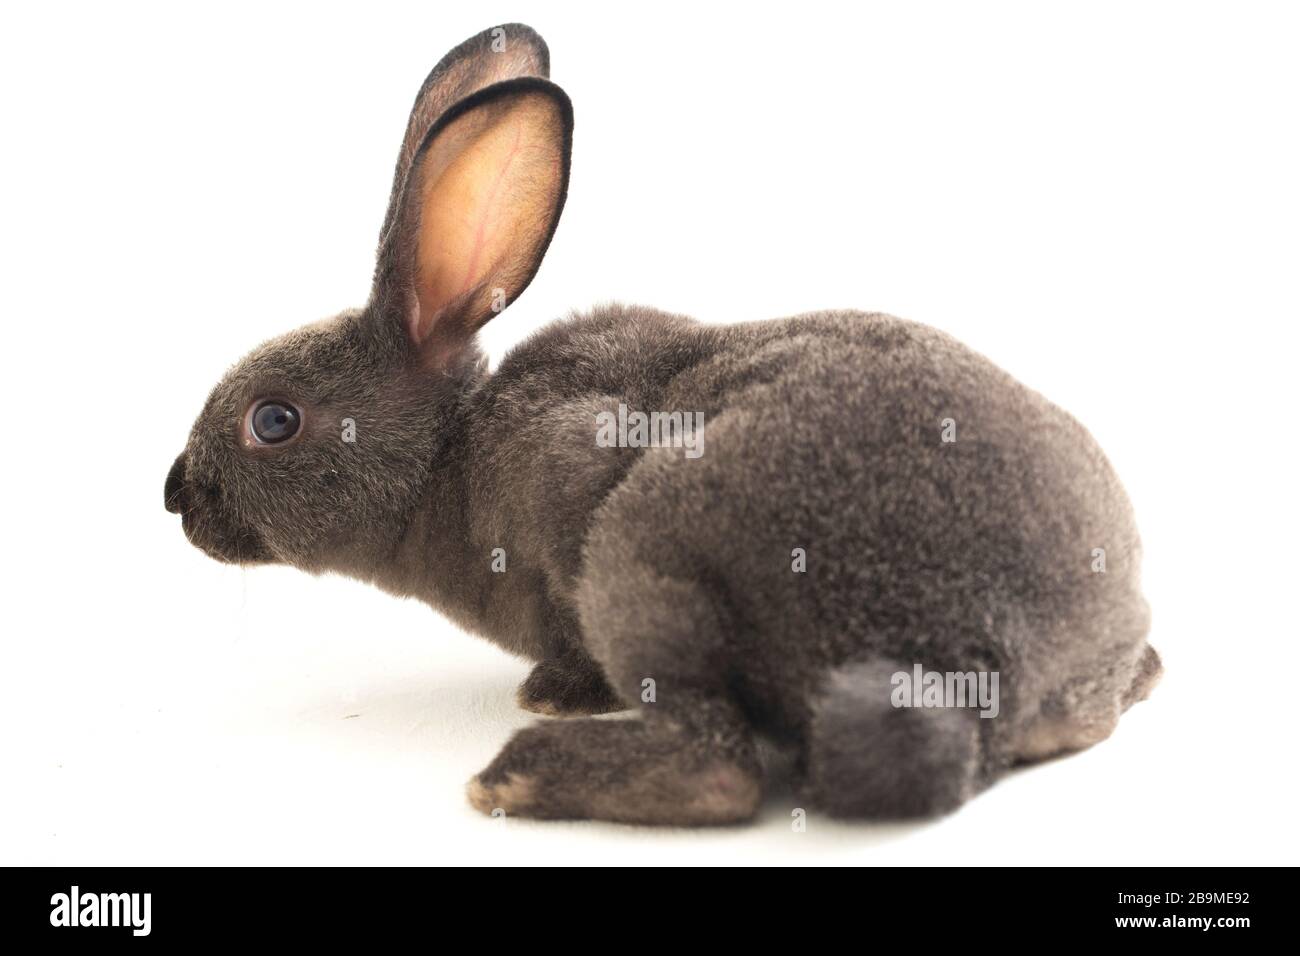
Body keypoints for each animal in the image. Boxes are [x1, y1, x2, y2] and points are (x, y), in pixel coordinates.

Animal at [164, 23, 1159, 825]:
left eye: (274, 420)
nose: (175, 494)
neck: (451, 459)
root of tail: (991, 658)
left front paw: (555, 693)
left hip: (640, 564)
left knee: (721, 772)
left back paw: (516, 775)